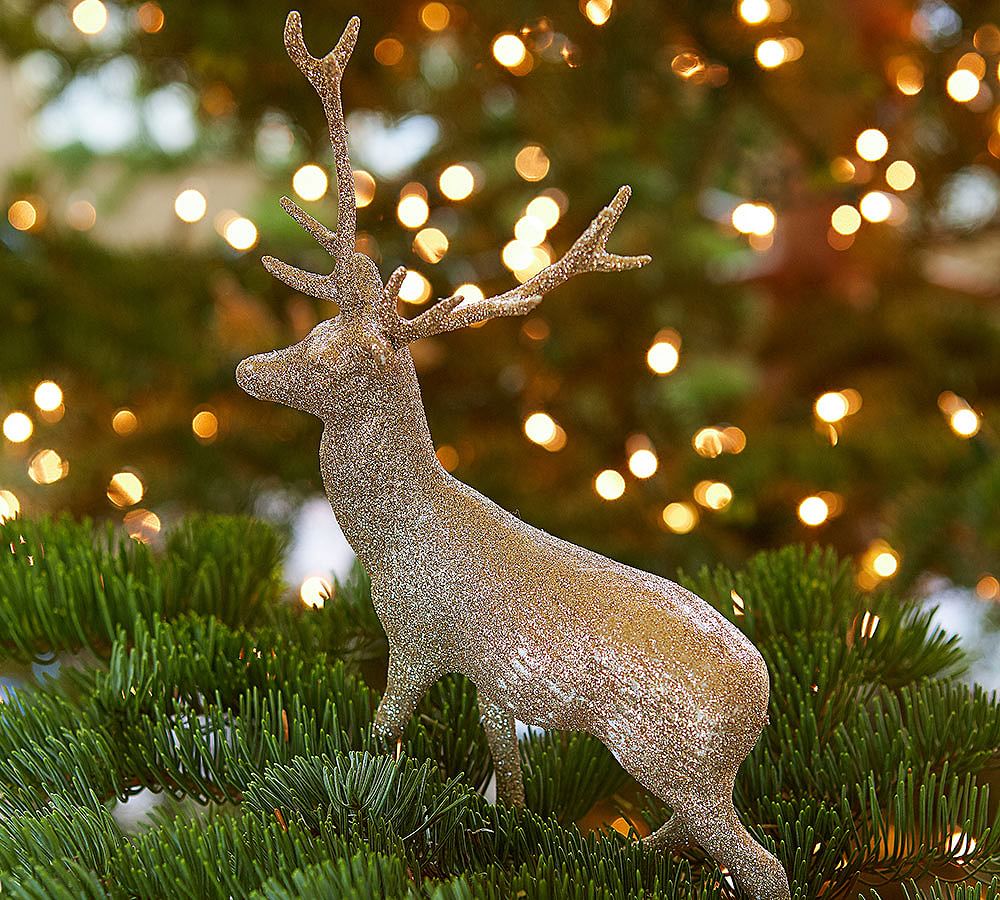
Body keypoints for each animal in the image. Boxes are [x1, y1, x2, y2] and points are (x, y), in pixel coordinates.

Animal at [235, 12, 790, 899]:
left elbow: (382, 731)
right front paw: (513, 832)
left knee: (761, 864)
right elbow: (510, 772)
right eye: (315, 329)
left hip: (671, 755)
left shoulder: (419, 629)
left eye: (346, 361)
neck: (390, 539)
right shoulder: (493, 680)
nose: (249, 370)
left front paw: (348, 790)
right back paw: (617, 853)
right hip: (696, 773)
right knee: (686, 835)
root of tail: (761, 705)